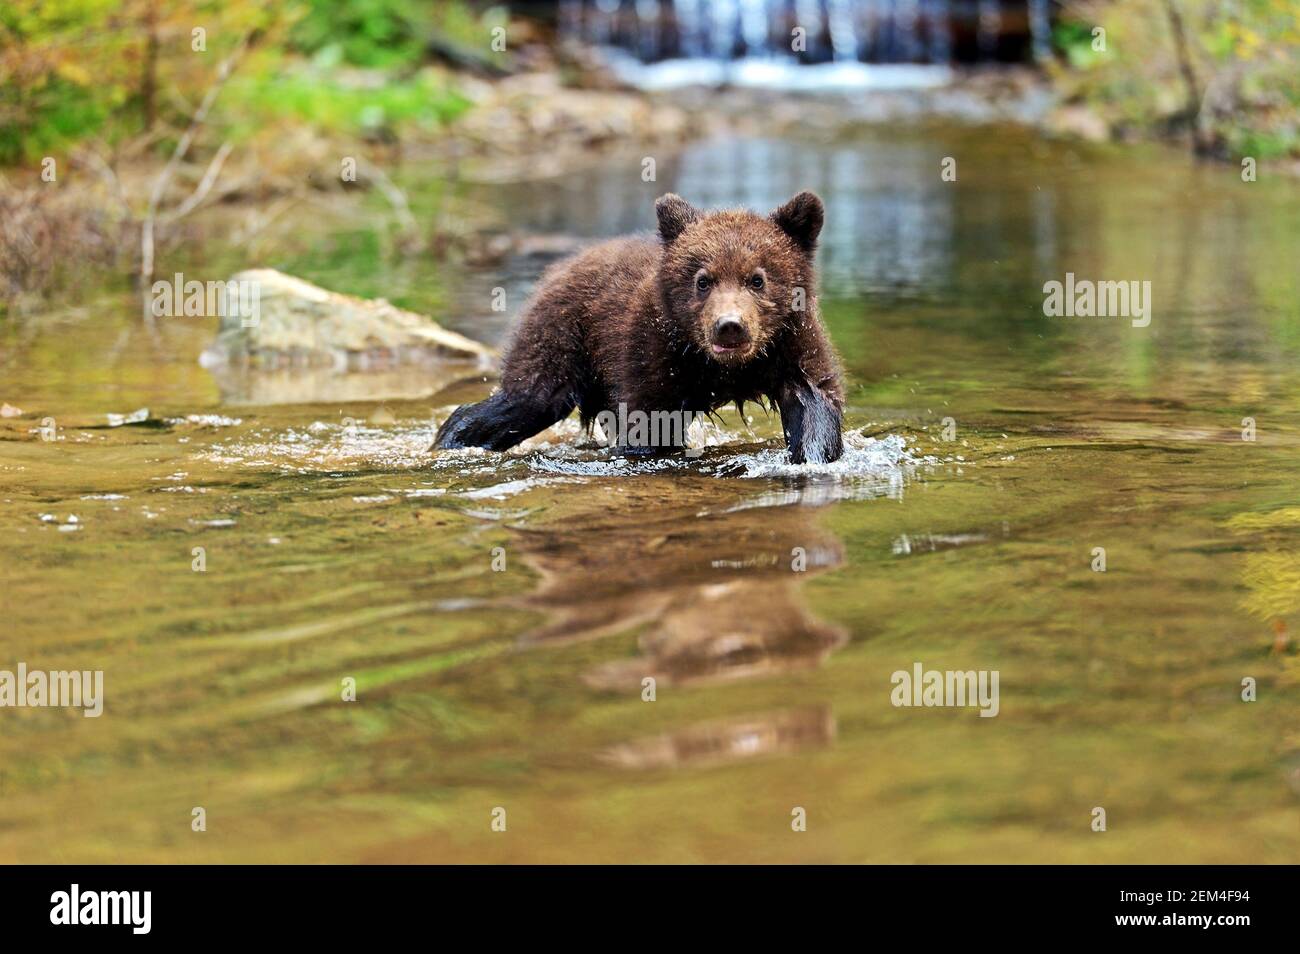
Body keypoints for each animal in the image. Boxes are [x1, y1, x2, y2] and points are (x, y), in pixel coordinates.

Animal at [433, 191, 844, 463]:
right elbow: (648, 424)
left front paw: (813, 455)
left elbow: (813, 403)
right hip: (562, 335)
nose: (729, 327)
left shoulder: (791, 344)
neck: (724, 367)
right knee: (525, 398)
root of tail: (564, 264)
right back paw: (451, 438)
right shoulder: (653, 350)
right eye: (703, 280)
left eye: (757, 279)